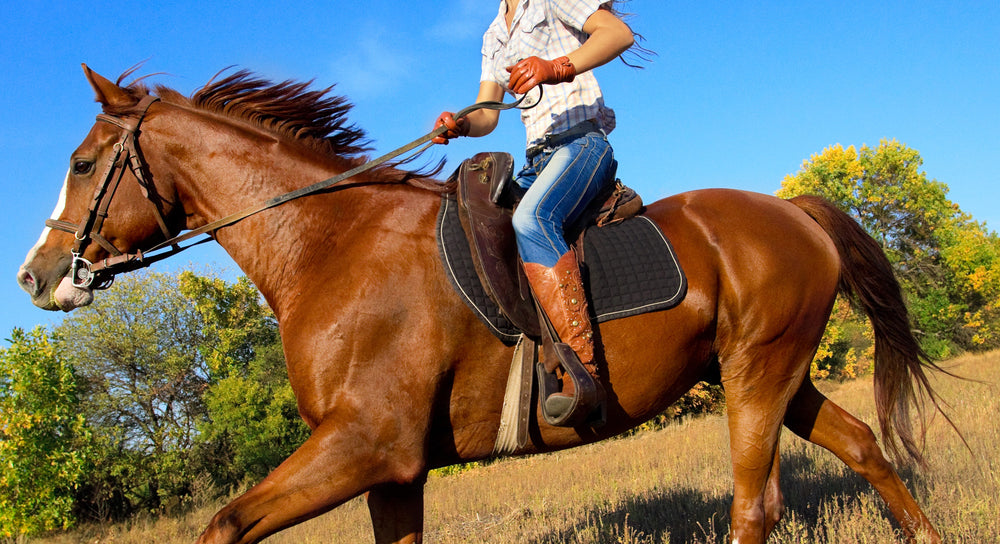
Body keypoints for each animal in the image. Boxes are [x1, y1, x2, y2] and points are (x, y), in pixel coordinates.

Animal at [16, 65, 946, 544]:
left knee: (757, 505)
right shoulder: (395, 471)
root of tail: (794, 209)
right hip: (773, 372)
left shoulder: (367, 445)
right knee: (863, 445)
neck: (329, 244)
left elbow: (225, 525)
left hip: (757, 375)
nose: (34, 276)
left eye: (84, 162)